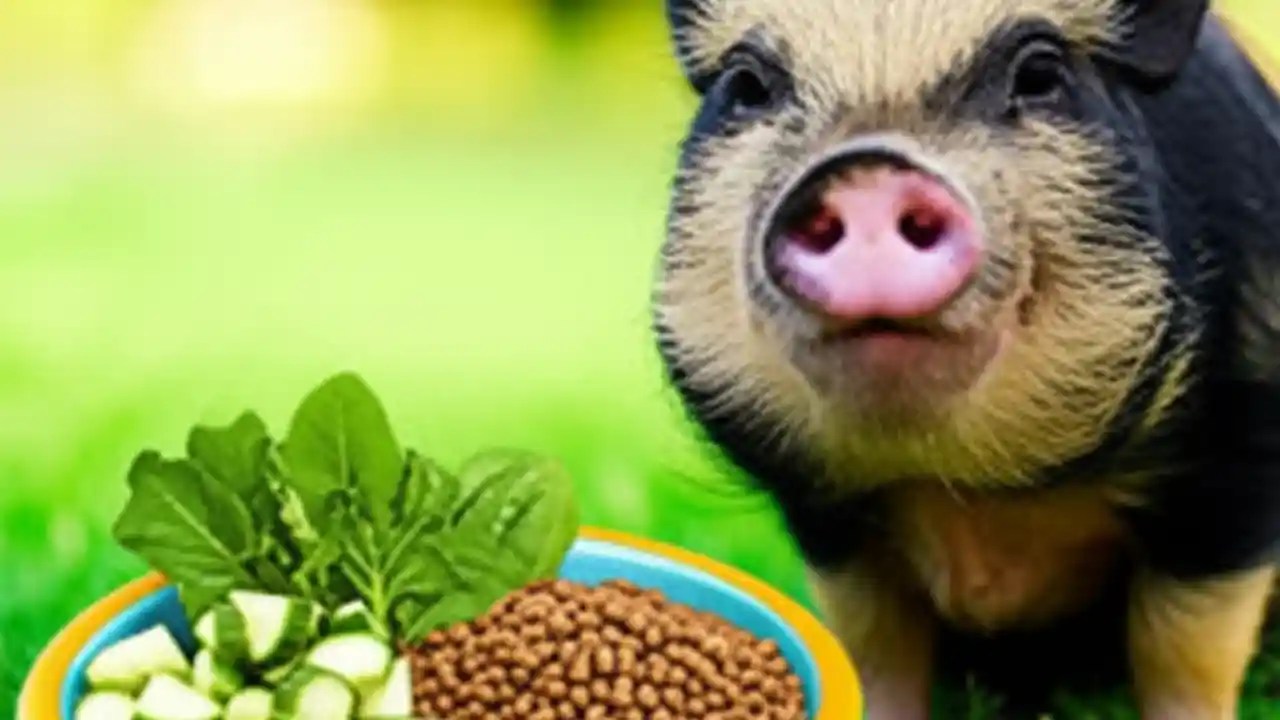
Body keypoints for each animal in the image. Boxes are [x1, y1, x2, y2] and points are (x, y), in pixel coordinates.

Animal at [652, 0, 1280, 717]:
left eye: (1039, 73)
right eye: (750, 85)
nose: (866, 168)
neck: (972, 498)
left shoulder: (1238, 451)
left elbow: (1183, 652)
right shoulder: (829, 521)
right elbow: (876, 648)